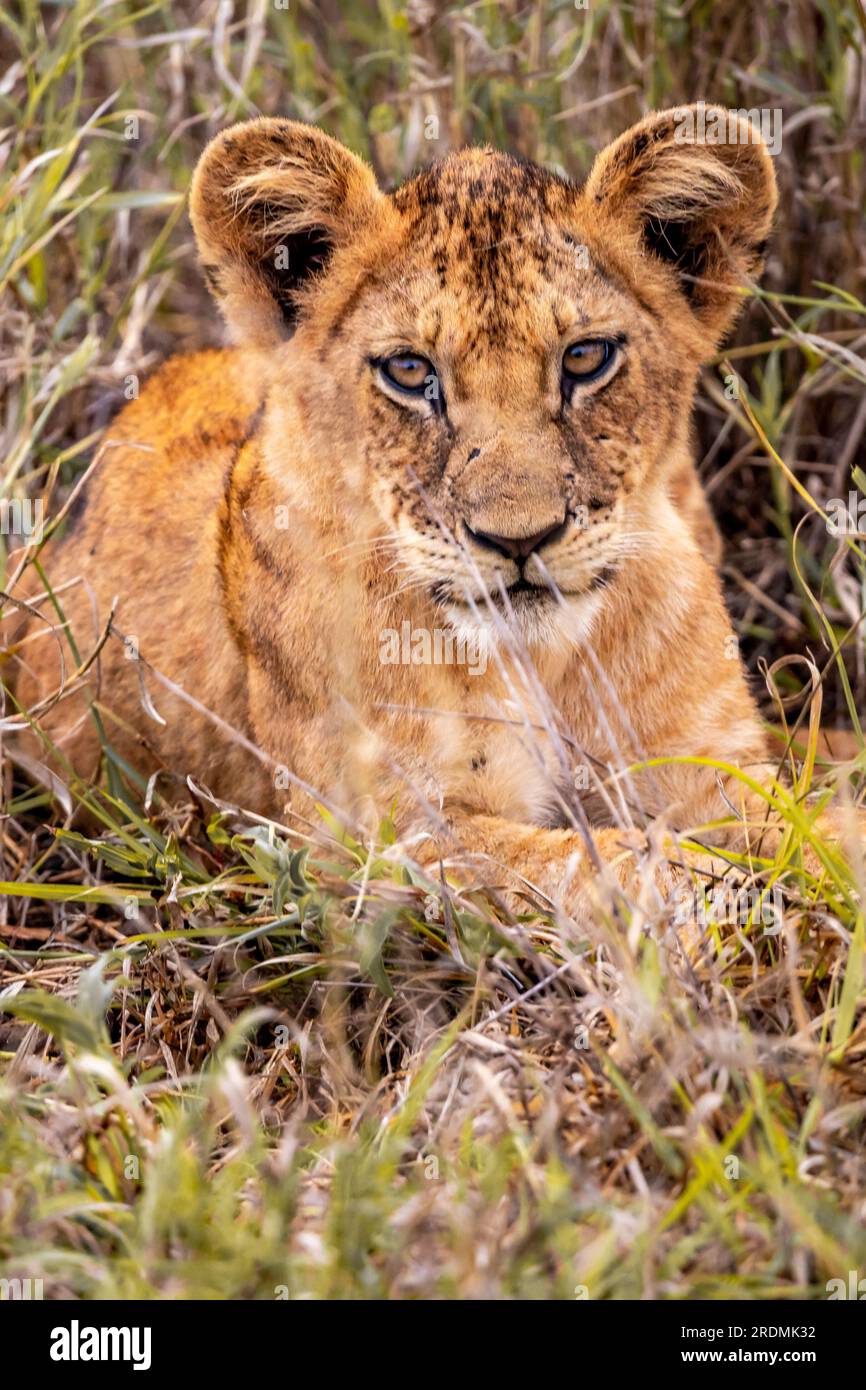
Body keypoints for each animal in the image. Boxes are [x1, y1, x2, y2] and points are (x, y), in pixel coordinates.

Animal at [8, 105, 798, 912]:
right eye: (410, 371)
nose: (521, 539)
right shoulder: (371, 842)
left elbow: (804, 834)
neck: (540, 666)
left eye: (585, 358)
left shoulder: (714, 768)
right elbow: (606, 867)